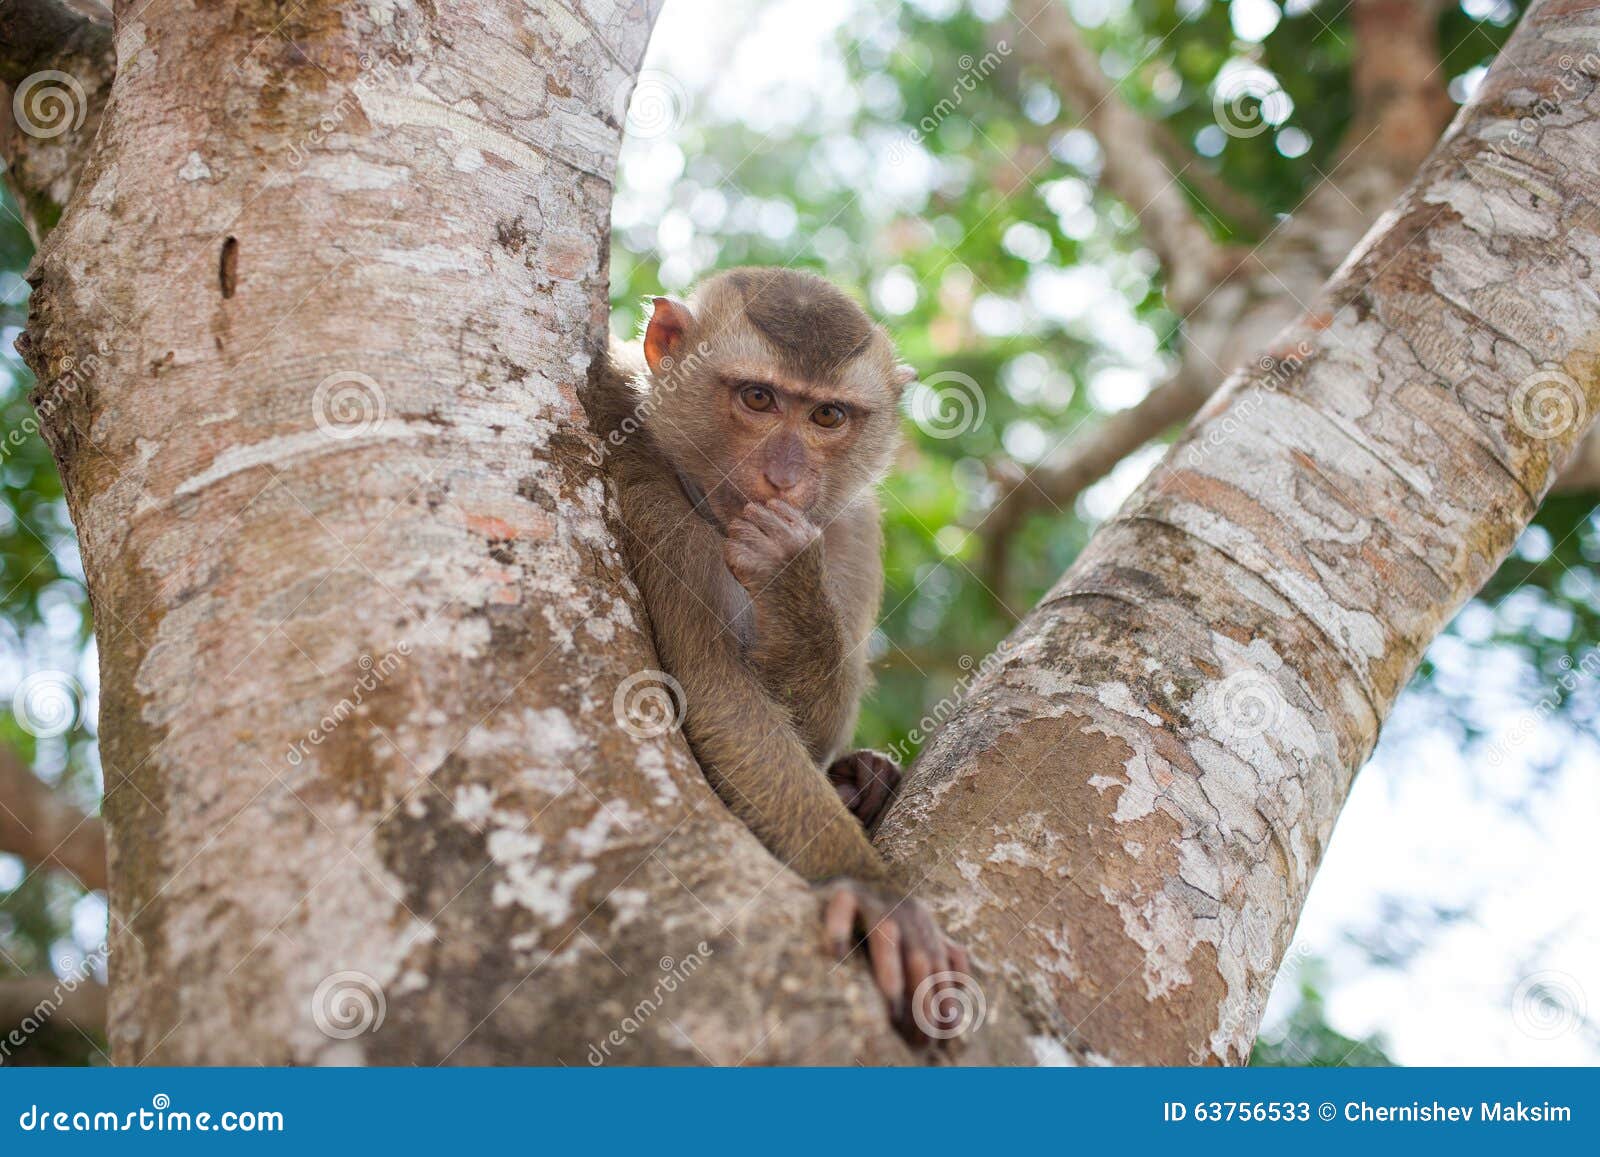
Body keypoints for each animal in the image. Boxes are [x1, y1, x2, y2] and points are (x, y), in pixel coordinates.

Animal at [590, 267, 969, 1046]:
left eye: (828, 415)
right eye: (758, 398)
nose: (786, 481)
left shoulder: (852, 528)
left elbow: (807, 724)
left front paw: (791, 582)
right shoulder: (648, 494)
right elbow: (720, 697)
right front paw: (867, 888)